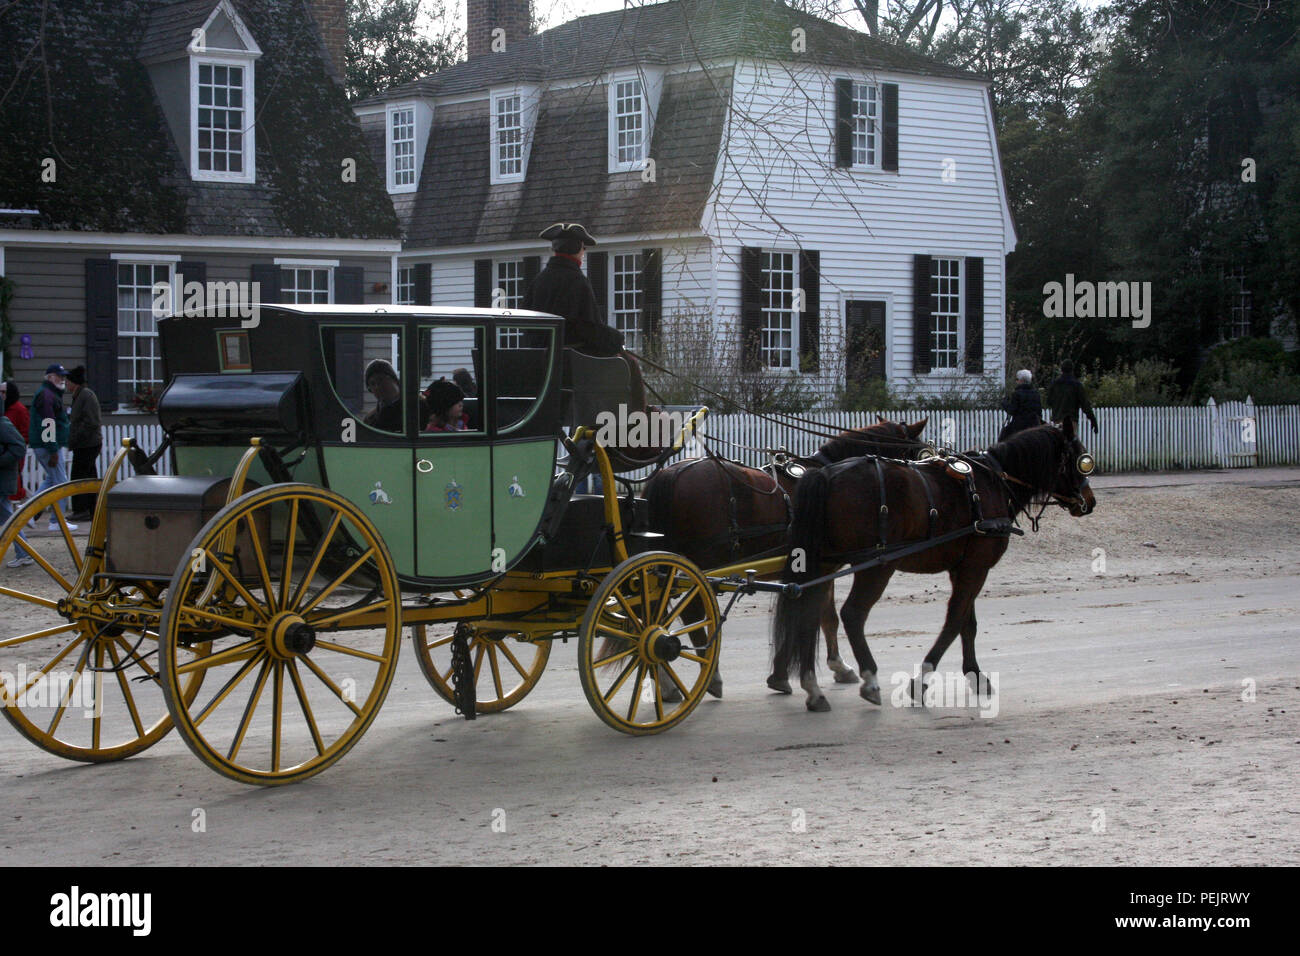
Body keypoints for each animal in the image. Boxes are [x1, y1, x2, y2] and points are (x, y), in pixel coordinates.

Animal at [641, 417, 928, 698]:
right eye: (914, 452)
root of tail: (671, 473)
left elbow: (814, 615)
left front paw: (785, 673)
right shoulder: (826, 566)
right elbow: (824, 616)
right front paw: (833, 667)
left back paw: (666, 682)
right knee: (690, 613)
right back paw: (708, 676)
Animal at [771, 421, 1096, 712]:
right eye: (1081, 460)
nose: (1089, 501)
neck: (991, 481)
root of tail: (826, 474)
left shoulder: (964, 568)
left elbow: (968, 623)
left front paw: (975, 674)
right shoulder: (976, 568)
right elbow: (954, 622)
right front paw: (922, 679)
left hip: (825, 563)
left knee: (810, 612)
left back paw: (811, 686)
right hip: (877, 566)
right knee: (852, 614)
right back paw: (868, 678)